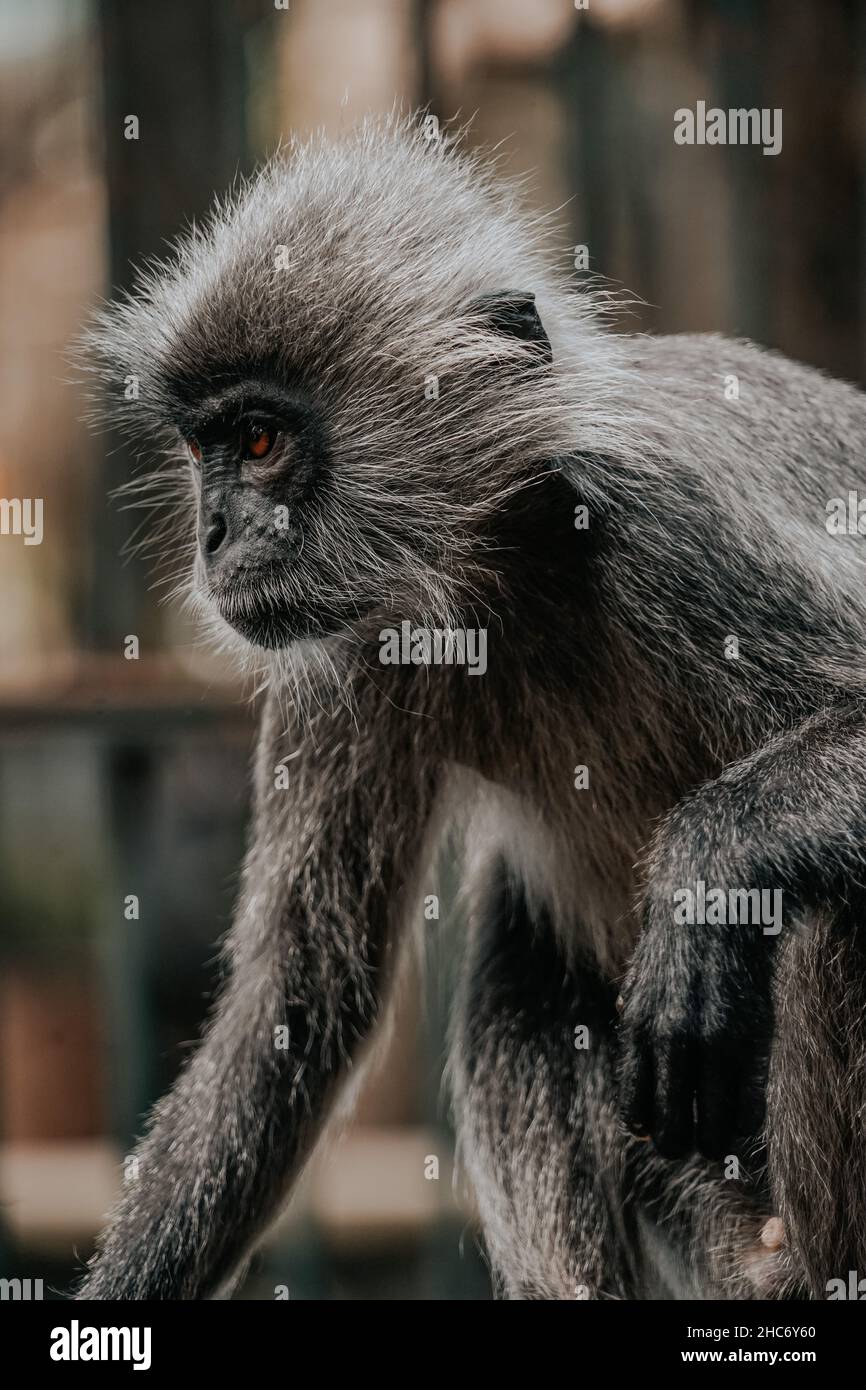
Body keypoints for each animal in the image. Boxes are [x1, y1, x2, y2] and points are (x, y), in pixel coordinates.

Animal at [74, 113, 866, 1300]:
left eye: (259, 442)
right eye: (202, 452)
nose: (215, 534)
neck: (499, 582)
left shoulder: (664, 519)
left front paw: (704, 871)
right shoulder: (342, 653)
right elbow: (299, 1004)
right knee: (520, 962)